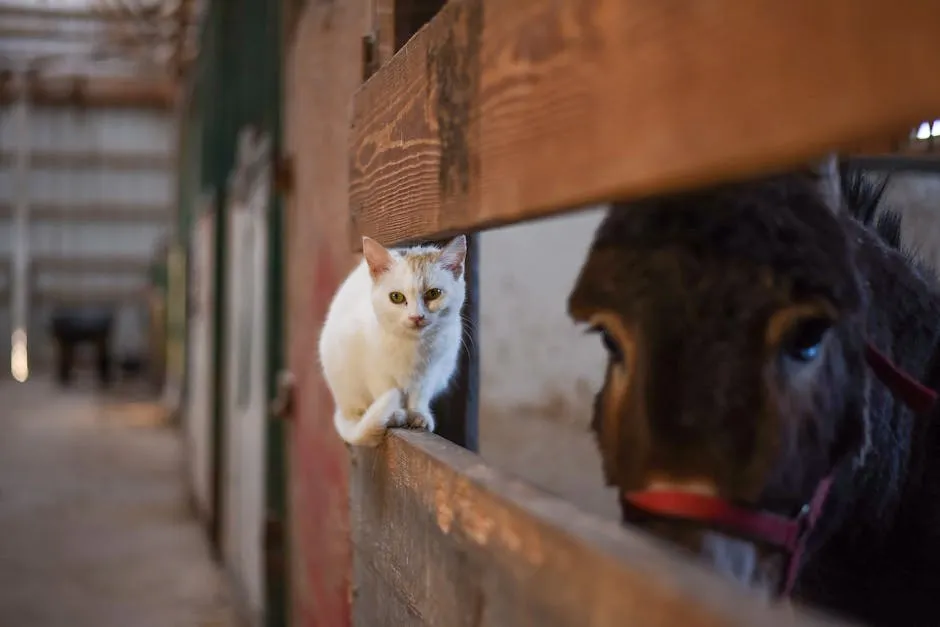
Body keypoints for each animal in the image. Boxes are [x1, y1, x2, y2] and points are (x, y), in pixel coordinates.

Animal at [318, 234, 468, 446]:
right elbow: (385, 389)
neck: (412, 346)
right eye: (396, 297)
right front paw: (395, 414)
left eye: (434, 293)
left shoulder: (430, 372)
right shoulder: (375, 370)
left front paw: (418, 414)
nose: (416, 317)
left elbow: (420, 395)